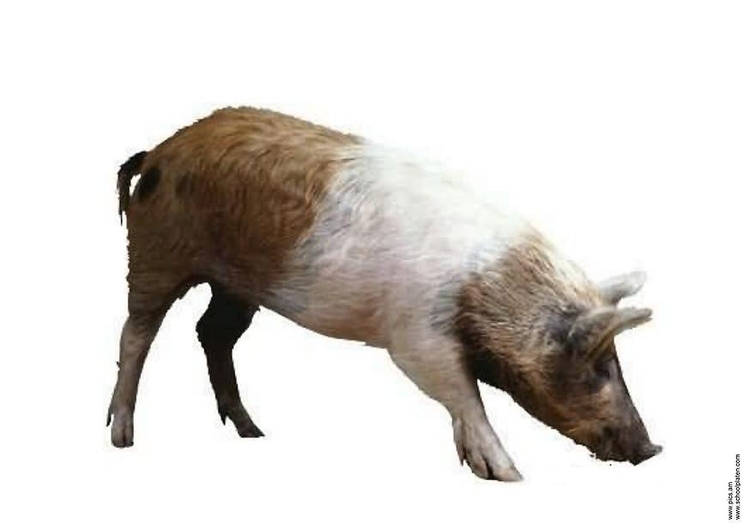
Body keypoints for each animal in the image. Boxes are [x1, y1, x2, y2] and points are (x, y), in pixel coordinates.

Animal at [108, 107, 661, 481]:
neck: (492, 292)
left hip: (235, 284)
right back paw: (123, 439)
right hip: (156, 254)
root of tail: (156, 152)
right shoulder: (415, 337)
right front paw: (510, 474)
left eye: (616, 362)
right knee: (136, 334)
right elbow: (465, 394)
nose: (651, 449)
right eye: (596, 364)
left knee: (212, 334)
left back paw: (252, 431)